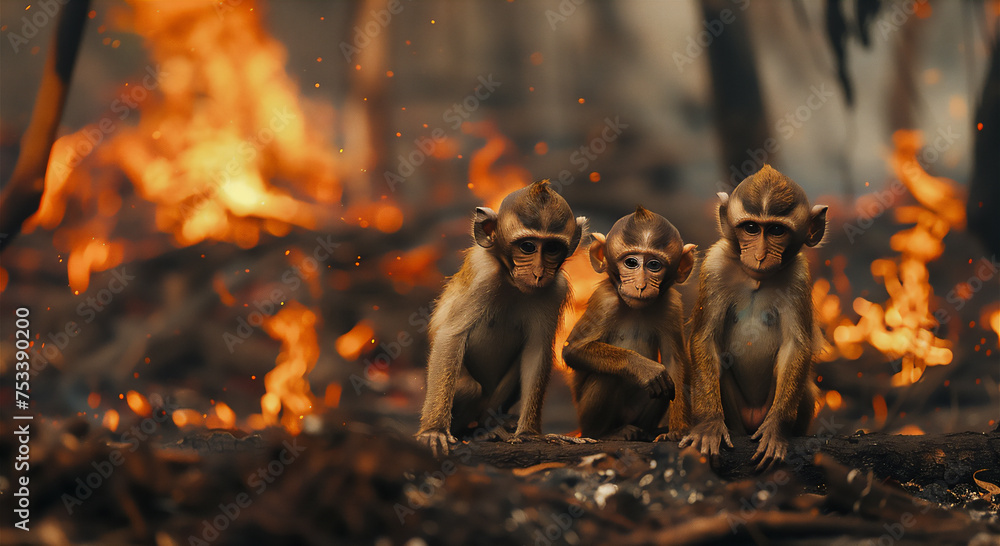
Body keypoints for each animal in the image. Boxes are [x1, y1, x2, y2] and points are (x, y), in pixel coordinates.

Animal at [416, 180, 591, 456]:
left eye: (552, 248)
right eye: (528, 246)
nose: (539, 273)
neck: (511, 280)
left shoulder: (555, 290)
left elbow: (536, 351)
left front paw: (529, 433)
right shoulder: (482, 274)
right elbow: (451, 335)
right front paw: (434, 430)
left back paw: (491, 426)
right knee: (469, 388)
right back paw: (468, 431)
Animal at [562, 206, 696, 441]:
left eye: (654, 265)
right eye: (631, 263)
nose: (640, 285)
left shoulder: (671, 306)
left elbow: (675, 363)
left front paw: (678, 430)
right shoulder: (604, 301)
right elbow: (573, 350)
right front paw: (642, 367)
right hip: (586, 420)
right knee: (606, 376)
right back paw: (608, 433)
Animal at [680, 164, 826, 470]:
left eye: (776, 230)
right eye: (750, 228)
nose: (759, 256)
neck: (756, 279)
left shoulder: (798, 276)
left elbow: (796, 346)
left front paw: (776, 430)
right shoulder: (714, 265)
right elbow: (705, 338)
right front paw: (709, 425)